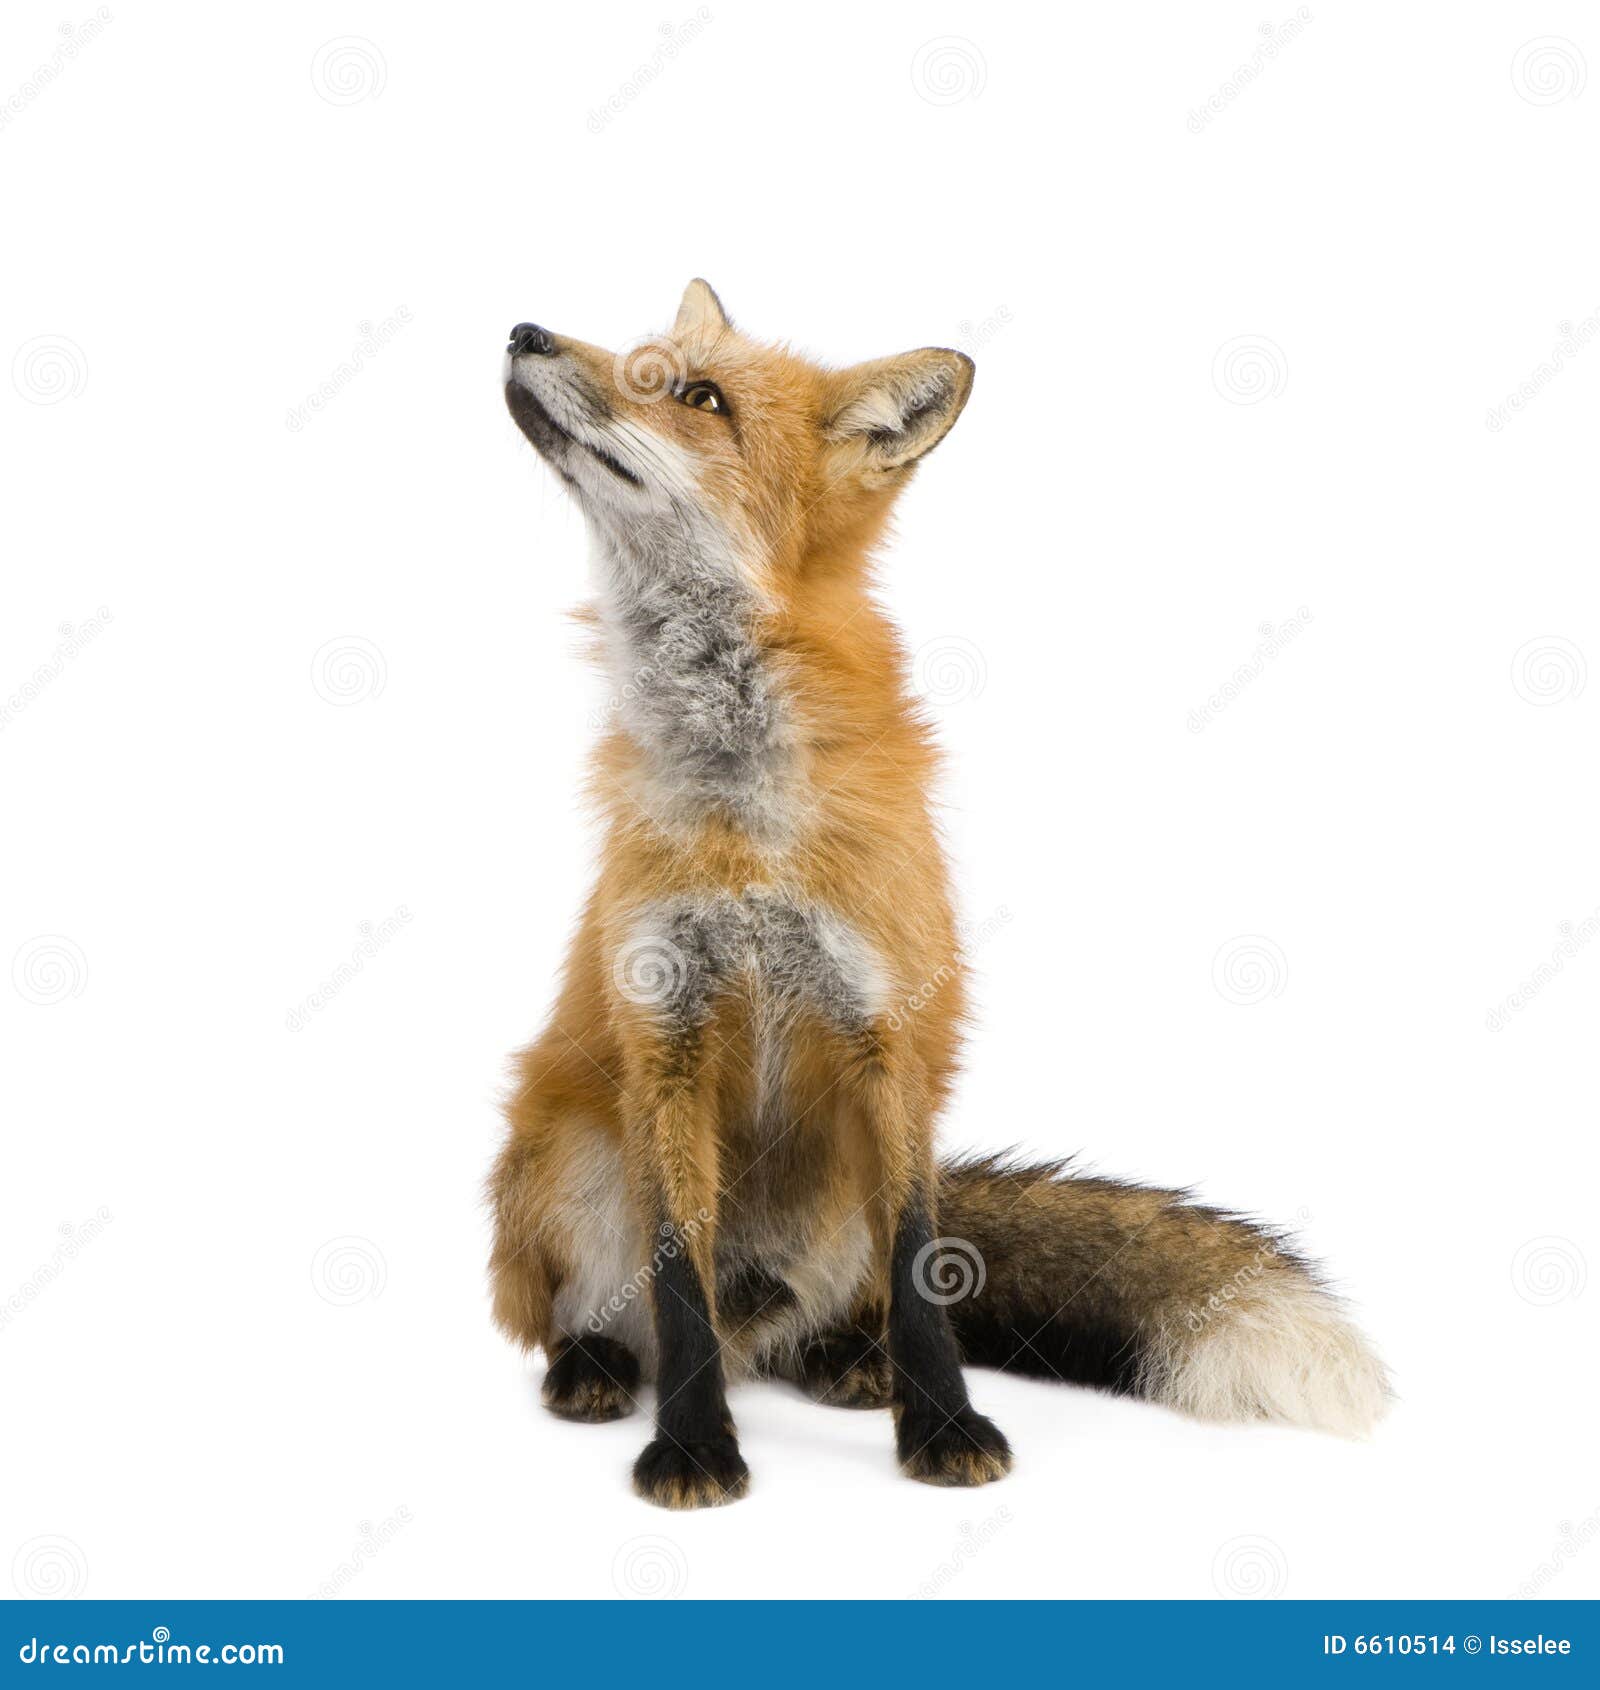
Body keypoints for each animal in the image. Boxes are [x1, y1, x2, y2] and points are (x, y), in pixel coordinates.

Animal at [489, 280, 1389, 1509]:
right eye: (647, 360)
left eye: (697, 394)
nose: (522, 330)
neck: (748, 814)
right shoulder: (663, 1037)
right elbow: (675, 1283)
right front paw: (694, 1445)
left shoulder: (890, 1035)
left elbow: (923, 1271)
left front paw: (944, 1426)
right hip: (570, 1157)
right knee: (618, 1315)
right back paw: (593, 1366)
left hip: (839, 1201)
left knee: (846, 1303)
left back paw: (849, 1360)